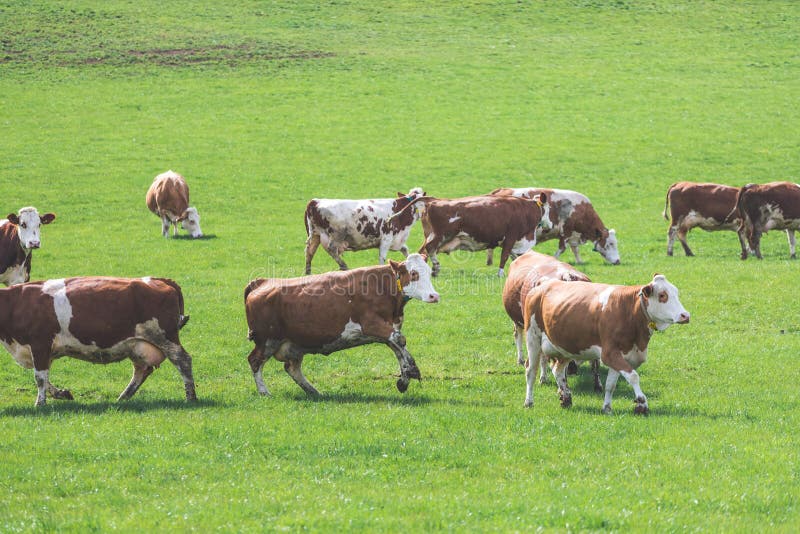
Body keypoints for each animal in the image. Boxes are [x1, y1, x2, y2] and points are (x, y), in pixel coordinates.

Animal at [0, 276, 196, 407]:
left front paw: (40, 404)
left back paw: (191, 397)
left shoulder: (40, 343)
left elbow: (40, 377)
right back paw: (123, 398)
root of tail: (158, 280)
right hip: (137, 345)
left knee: (183, 360)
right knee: (142, 370)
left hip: (164, 337)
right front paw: (63, 393)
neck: (17, 303)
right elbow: (44, 378)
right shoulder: (40, 350)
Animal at [245, 253, 438, 396]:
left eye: (429, 272)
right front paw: (412, 371)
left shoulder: (389, 328)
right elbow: (399, 340)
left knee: (292, 368)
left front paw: (404, 378)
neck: (381, 285)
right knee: (254, 361)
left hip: (293, 343)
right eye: (413, 274)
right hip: (268, 340)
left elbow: (398, 348)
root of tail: (262, 282)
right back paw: (264, 392)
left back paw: (314, 392)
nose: (434, 296)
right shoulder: (371, 324)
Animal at [389, 194, 551, 277]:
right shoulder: (511, 236)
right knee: (429, 248)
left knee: (423, 251)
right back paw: (435, 268)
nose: (549, 226)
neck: (524, 210)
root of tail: (434, 200)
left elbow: (515, 257)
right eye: (548, 209)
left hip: (431, 234)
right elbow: (505, 256)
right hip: (441, 235)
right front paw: (500, 274)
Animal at [488, 188, 620, 265]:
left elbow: (575, 249)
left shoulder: (573, 235)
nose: (618, 261)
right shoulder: (566, 231)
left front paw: (580, 261)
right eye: (610, 244)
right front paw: (554, 260)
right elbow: (562, 249)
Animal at [522, 274, 690, 414]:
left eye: (676, 293)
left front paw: (607, 408)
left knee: (557, 370)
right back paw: (529, 402)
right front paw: (642, 403)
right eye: (662, 295)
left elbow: (611, 384)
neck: (628, 311)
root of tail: (543, 284)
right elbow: (633, 377)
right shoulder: (609, 354)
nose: (685, 315)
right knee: (531, 370)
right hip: (532, 337)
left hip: (565, 346)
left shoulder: (623, 355)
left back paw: (566, 397)